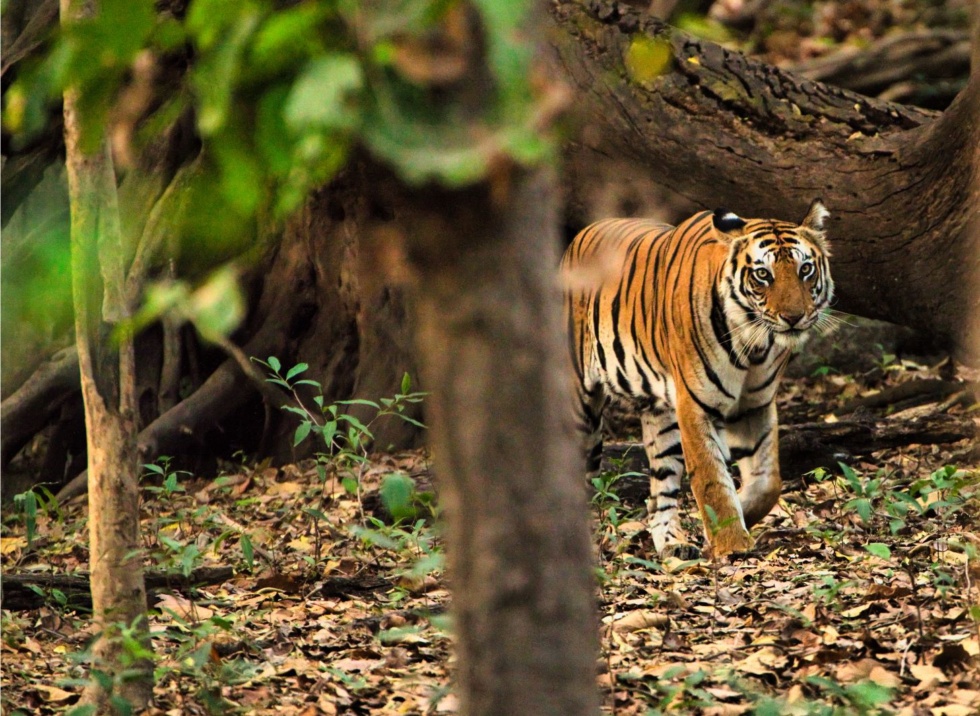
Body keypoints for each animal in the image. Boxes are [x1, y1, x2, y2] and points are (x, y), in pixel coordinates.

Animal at [562, 200, 833, 559]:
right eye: (763, 274)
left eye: (805, 270)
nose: (793, 317)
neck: (755, 345)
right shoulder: (696, 406)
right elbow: (712, 479)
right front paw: (731, 542)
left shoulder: (754, 405)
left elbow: (767, 482)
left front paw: (733, 519)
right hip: (581, 405)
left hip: (661, 419)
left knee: (660, 493)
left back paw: (672, 543)